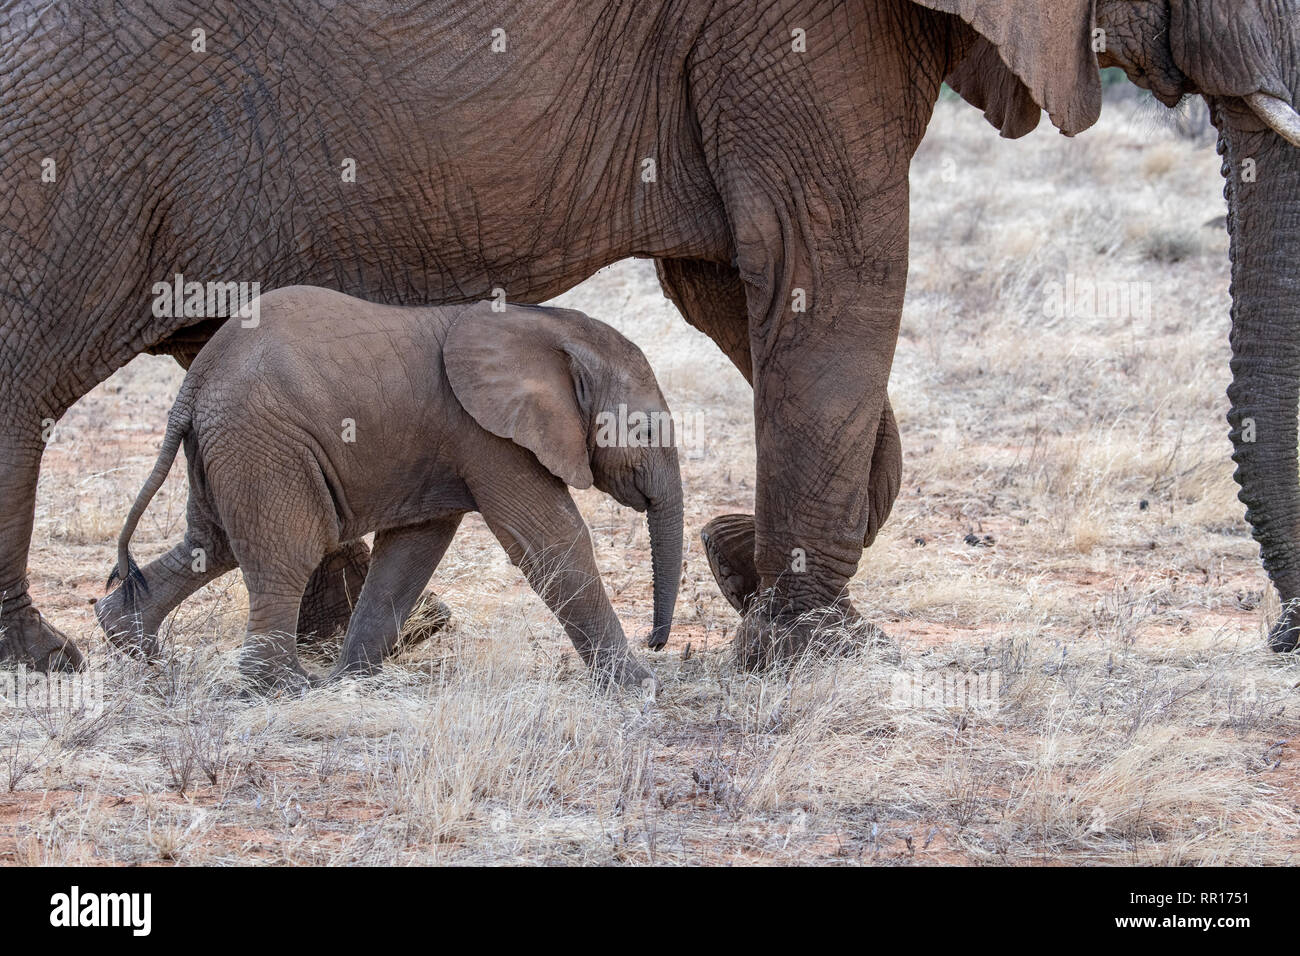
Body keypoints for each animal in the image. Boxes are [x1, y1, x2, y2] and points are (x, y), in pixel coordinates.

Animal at [93, 288, 683, 691]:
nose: (657, 643)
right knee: (287, 554)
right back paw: (286, 688)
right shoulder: (489, 436)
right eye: (644, 430)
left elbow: (410, 552)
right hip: (263, 441)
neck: (549, 326)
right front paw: (640, 687)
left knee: (211, 545)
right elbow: (553, 541)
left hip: (227, 445)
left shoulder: (445, 446)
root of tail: (195, 382)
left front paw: (353, 682)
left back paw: (131, 642)